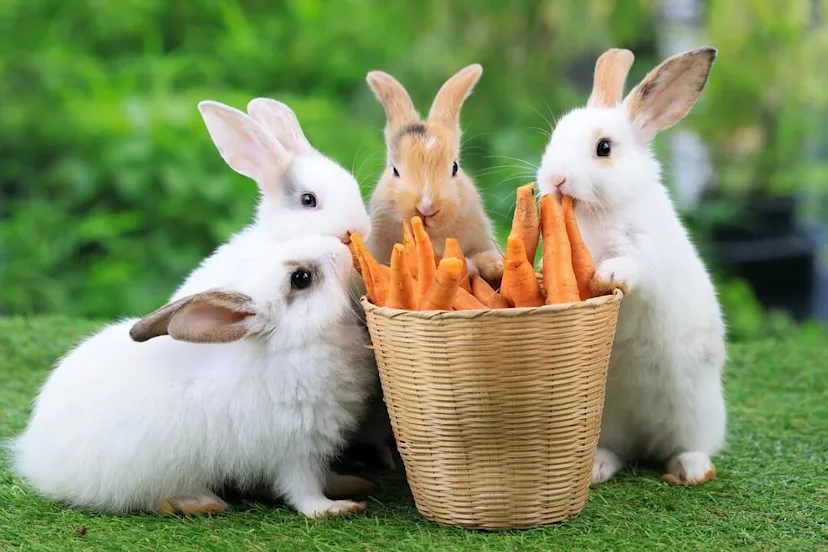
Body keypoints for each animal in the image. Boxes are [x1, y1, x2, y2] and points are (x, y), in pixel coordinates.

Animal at [10, 234, 379, 518]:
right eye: (301, 278)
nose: (341, 243)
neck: (293, 345)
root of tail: (35, 456)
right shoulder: (294, 450)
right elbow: (303, 490)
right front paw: (335, 508)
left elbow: (326, 475)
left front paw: (352, 483)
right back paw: (201, 503)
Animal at [535, 47, 727, 486]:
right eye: (554, 138)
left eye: (604, 148)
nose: (555, 180)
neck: (597, 213)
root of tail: (645, 441)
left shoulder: (647, 252)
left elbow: (632, 265)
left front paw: (607, 276)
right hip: (608, 422)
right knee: (617, 451)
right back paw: (597, 469)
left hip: (699, 415)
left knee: (690, 446)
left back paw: (690, 470)